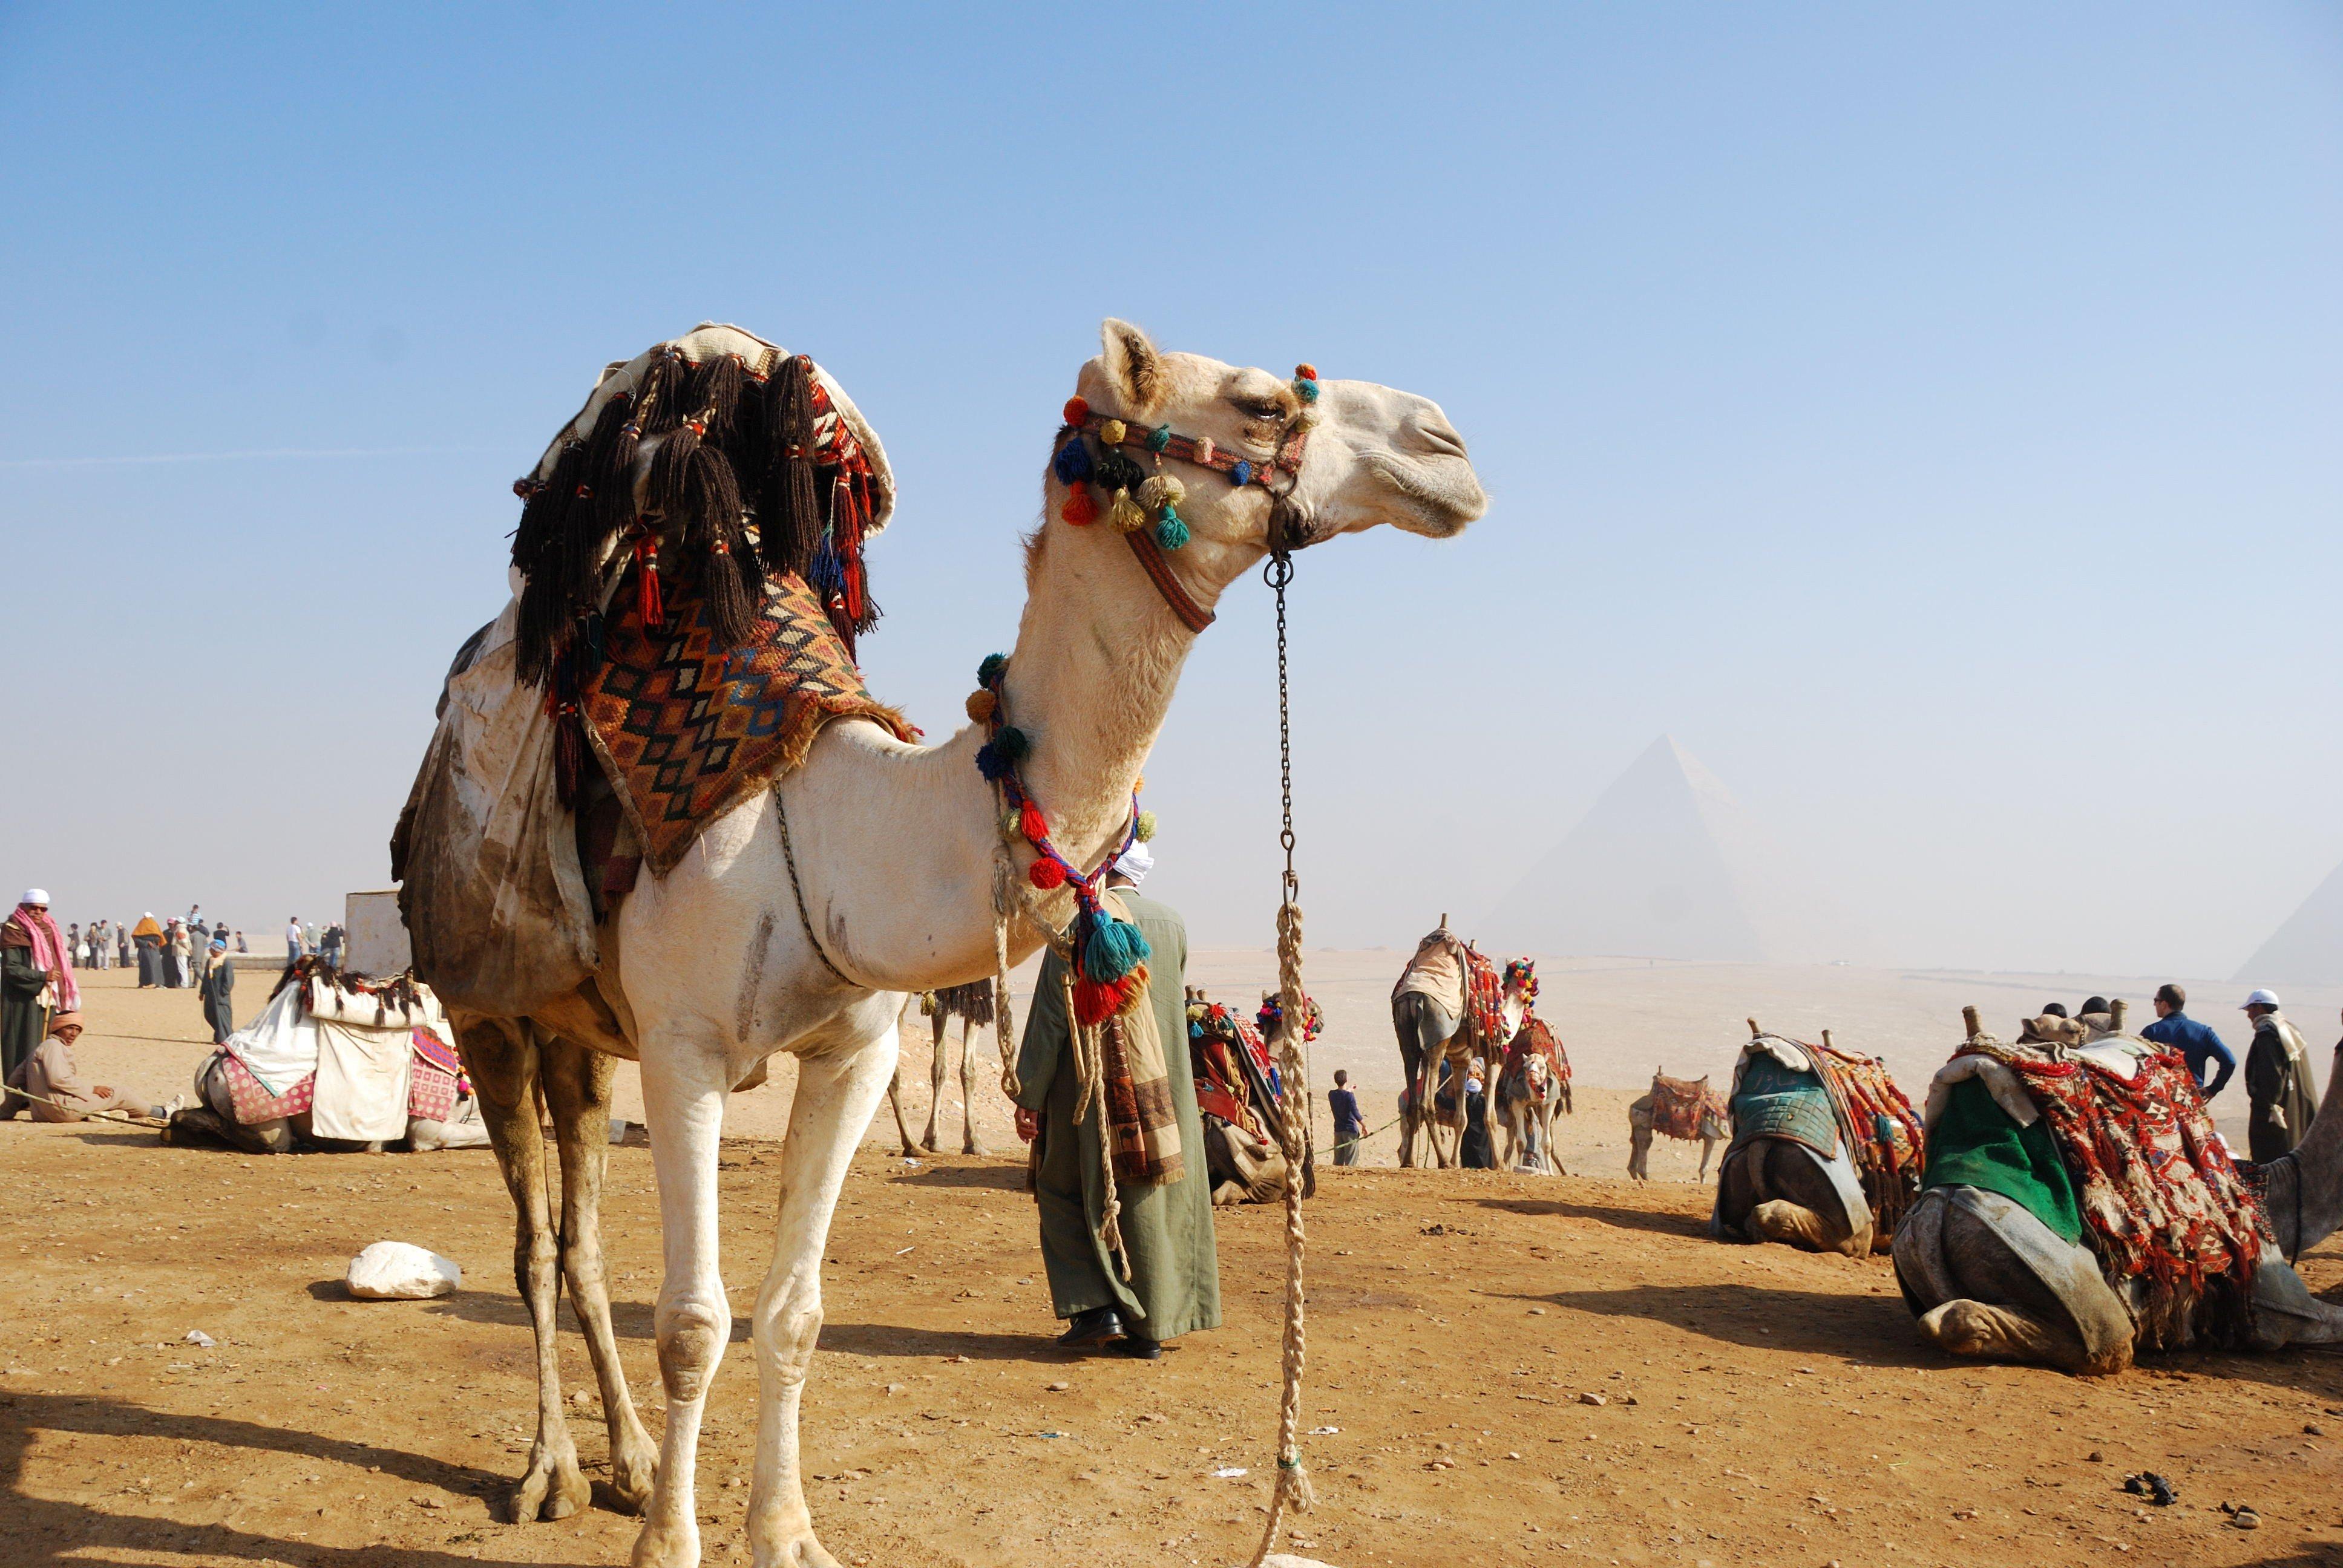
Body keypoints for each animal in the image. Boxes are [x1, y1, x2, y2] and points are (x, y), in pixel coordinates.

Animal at [882, 981, 995, 1157]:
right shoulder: (974, 991)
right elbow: (969, 1070)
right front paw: (974, 1142)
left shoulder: (942, 994)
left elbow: (939, 1069)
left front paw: (932, 1140)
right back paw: (911, 1144)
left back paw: (912, 1145)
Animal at [1626, 1069, 1728, 1182]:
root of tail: (1633, 1105)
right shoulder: (1711, 1135)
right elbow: (1704, 1169)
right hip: (1642, 1123)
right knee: (1645, 1144)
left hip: (1636, 1126)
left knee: (1635, 1148)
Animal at [1895, 1005, 2343, 1374]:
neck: (2271, 1197)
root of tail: (1930, 1213)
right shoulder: (2274, 1304)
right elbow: (2327, 1320)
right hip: (2037, 1260)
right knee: (2105, 1341)